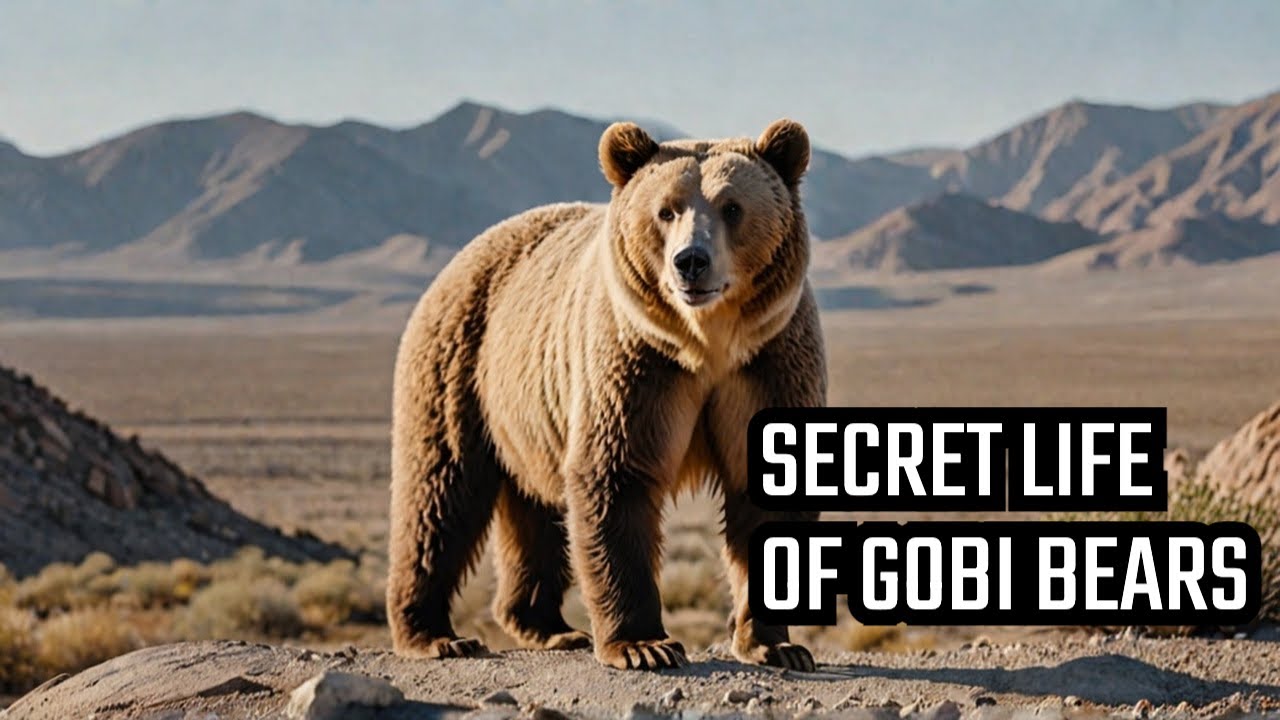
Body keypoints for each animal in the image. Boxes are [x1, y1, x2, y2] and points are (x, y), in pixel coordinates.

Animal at [387, 118, 826, 671]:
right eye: (666, 209)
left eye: (732, 206)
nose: (691, 262)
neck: (708, 344)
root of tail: (467, 253)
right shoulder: (637, 362)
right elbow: (617, 474)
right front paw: (644, 645)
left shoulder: (768, 362)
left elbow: (769, 489)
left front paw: (777, 644)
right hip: (460, 362)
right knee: (440, 492)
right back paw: (436, 635)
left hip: (529, 415)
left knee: (534, 512)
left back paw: (548, 627)